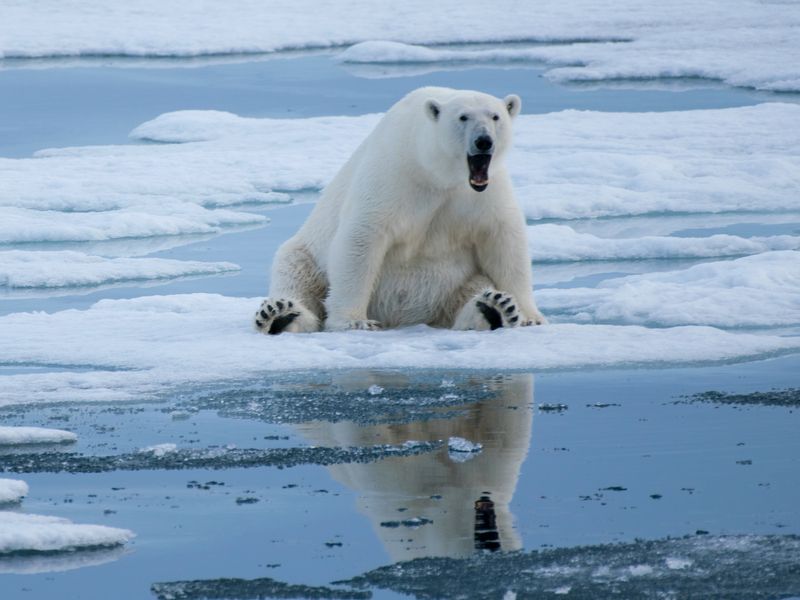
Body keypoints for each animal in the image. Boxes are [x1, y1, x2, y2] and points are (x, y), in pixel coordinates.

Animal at [254, 86, 546, 334]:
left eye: (495, 116)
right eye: (463, 117)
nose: (484, 141)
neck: (436, 172)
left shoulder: (481, 194)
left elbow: (504, 241)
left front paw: (528, 316)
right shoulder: (394, 175)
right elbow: (362, 237)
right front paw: (354, 321)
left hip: (451, 290)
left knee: (471, 291)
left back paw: (492, 308)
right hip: (306, 255)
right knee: (296, 277)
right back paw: (280, 314)